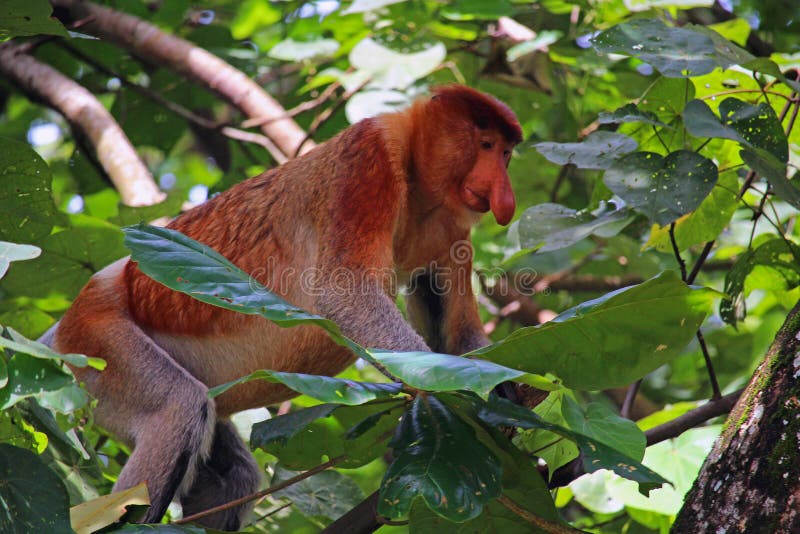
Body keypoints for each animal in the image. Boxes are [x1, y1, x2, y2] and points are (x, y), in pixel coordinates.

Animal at [43, 84, 522, 529]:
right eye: (485, 145)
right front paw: (466, 397)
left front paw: (502, 396)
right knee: (177, 410)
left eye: (507, 152)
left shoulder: (449, 227)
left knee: (233, 477)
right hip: (97, 341)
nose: (505, 198)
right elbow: (347, 293)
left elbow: (452, 330)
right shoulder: (367, 161)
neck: (417, 179)